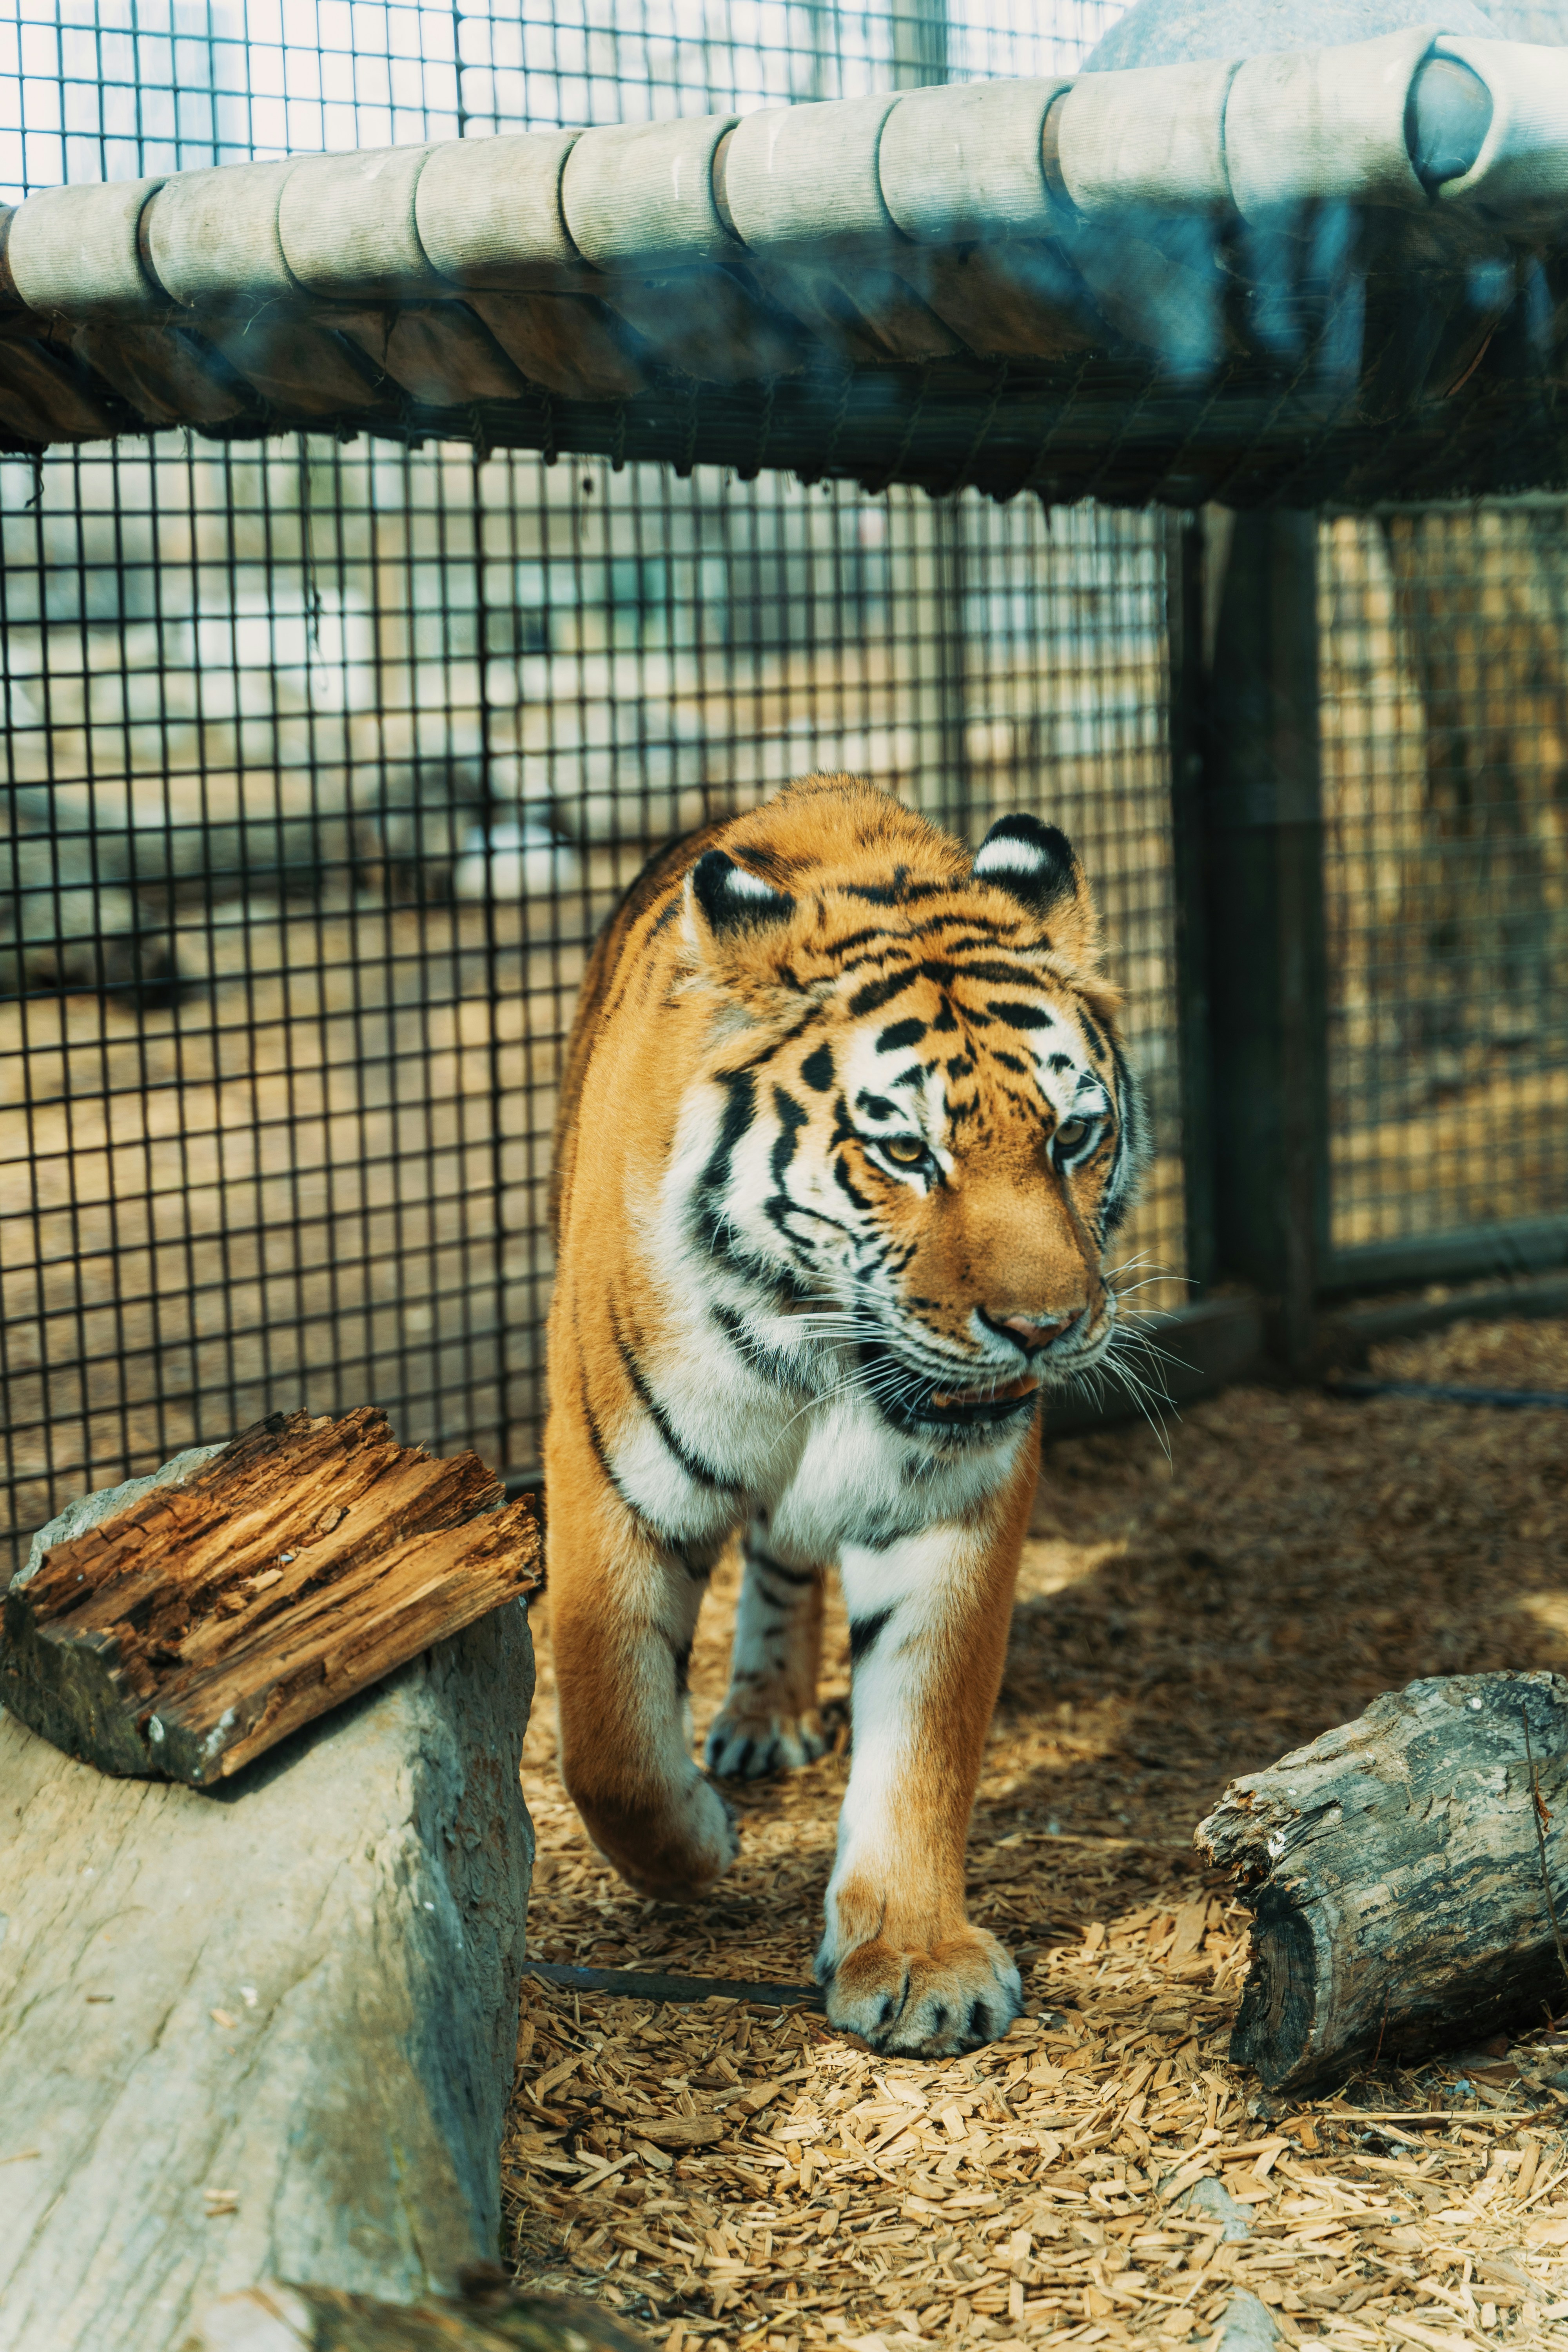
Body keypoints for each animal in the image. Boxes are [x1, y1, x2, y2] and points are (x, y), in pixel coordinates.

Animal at [545, 772, 1145, 2055]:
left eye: (1072, 1134)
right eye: (905, 1151)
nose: (1043, 1328)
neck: (825, 1355)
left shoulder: (953, 1502)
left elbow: (924, 1736)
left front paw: (915, 1960)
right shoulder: (611, 1474)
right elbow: (608, 1736)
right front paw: (697, 1845)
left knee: (781, 1554)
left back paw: (770, 1711)